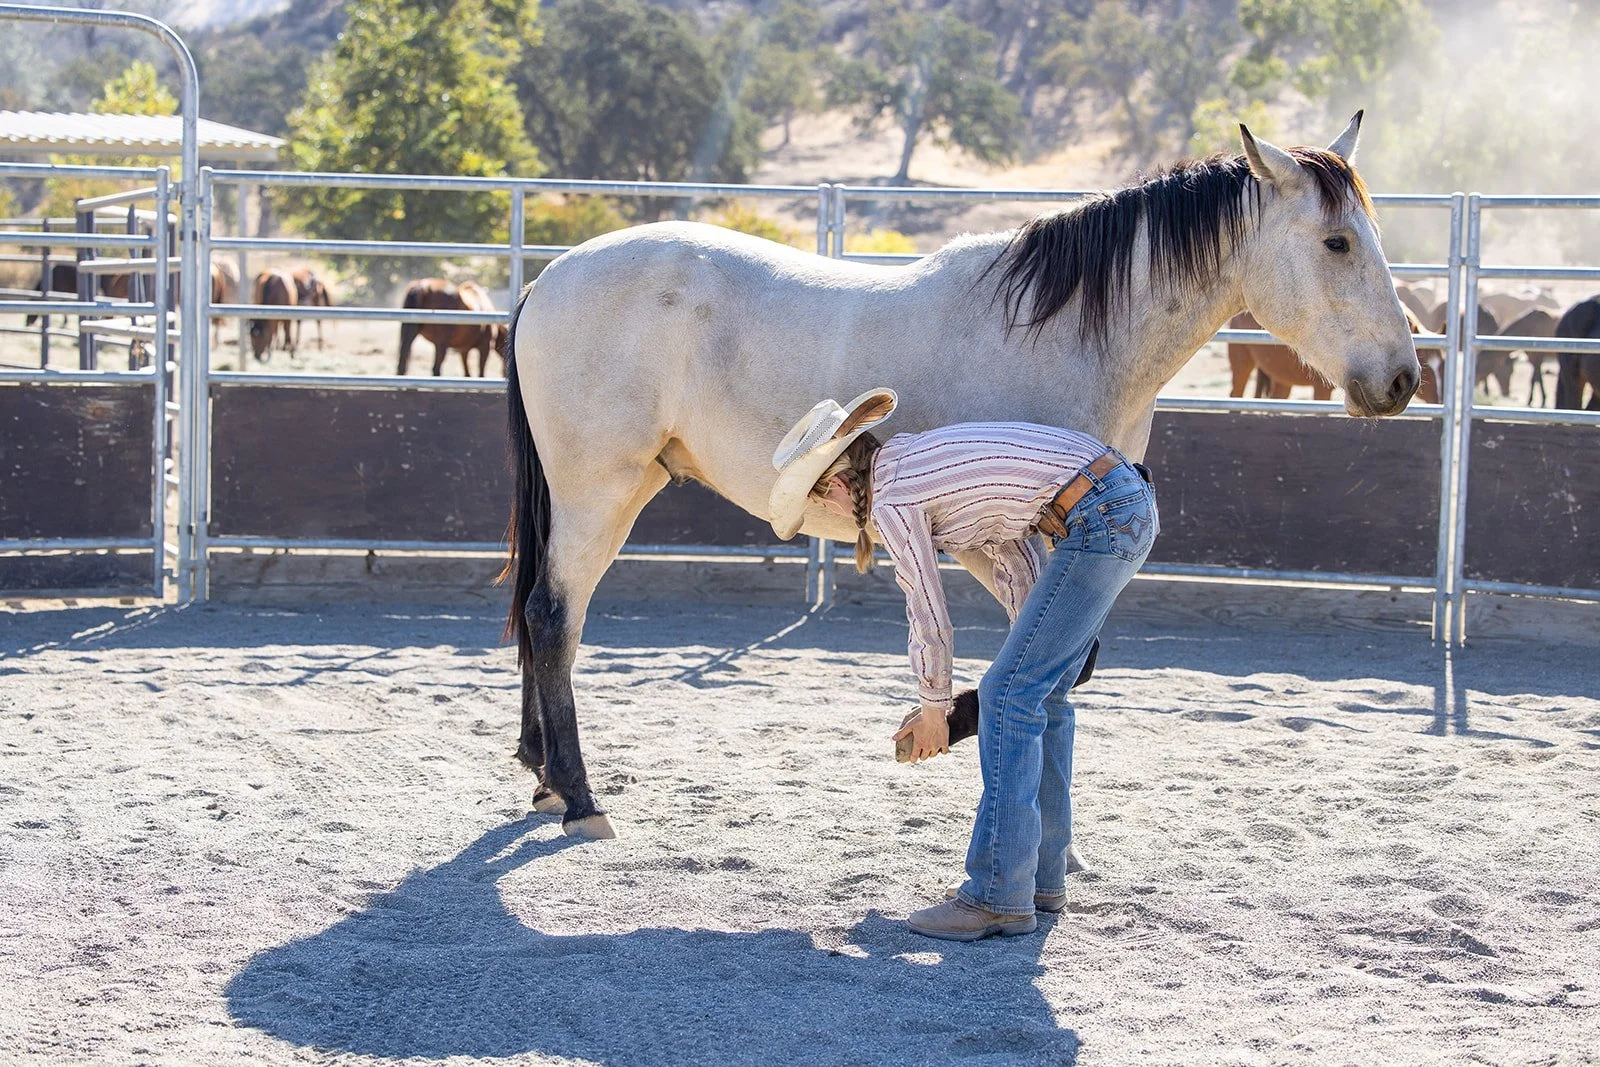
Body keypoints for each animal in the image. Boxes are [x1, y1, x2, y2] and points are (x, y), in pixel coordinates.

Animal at [502, 114, 1421, 840]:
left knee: (548, 621)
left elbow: (1062, 664)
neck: (1070, 330)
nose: (1403, 378)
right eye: (1336, 242)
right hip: (600, 493)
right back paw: (578, 796)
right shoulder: (992, 538)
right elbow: (1044, 659)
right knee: (553, 616)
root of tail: (547, 279)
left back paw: (542, 776)